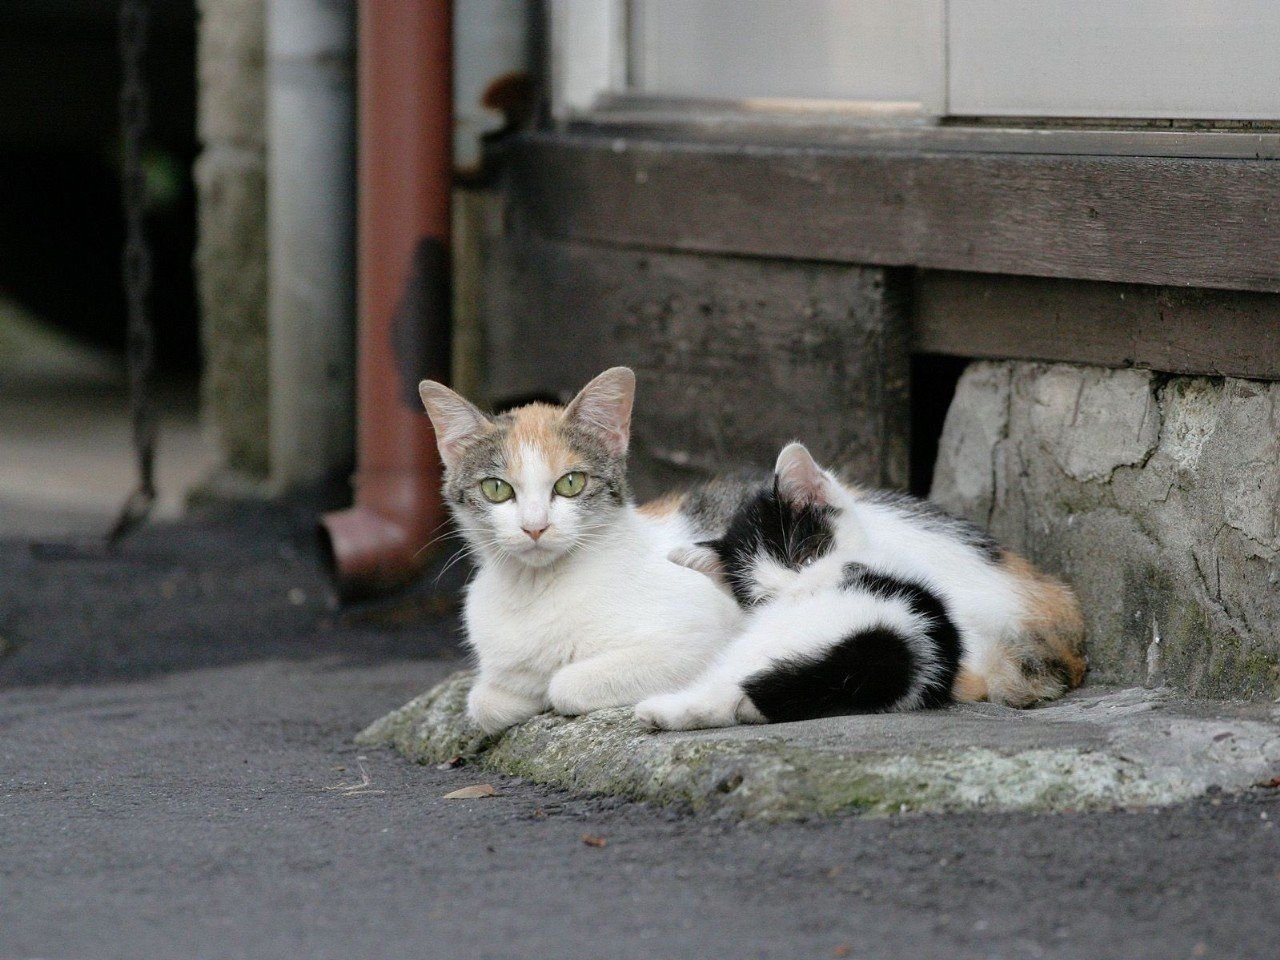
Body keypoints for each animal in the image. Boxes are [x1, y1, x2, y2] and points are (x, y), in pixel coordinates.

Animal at [417, 368, 747, 737]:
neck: (536, 588)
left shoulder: (696, 638)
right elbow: (483, 702)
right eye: (496, 488)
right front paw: (522, 690)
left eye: (571, 483)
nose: (535, 527)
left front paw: (547, 685)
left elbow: (564, 684)